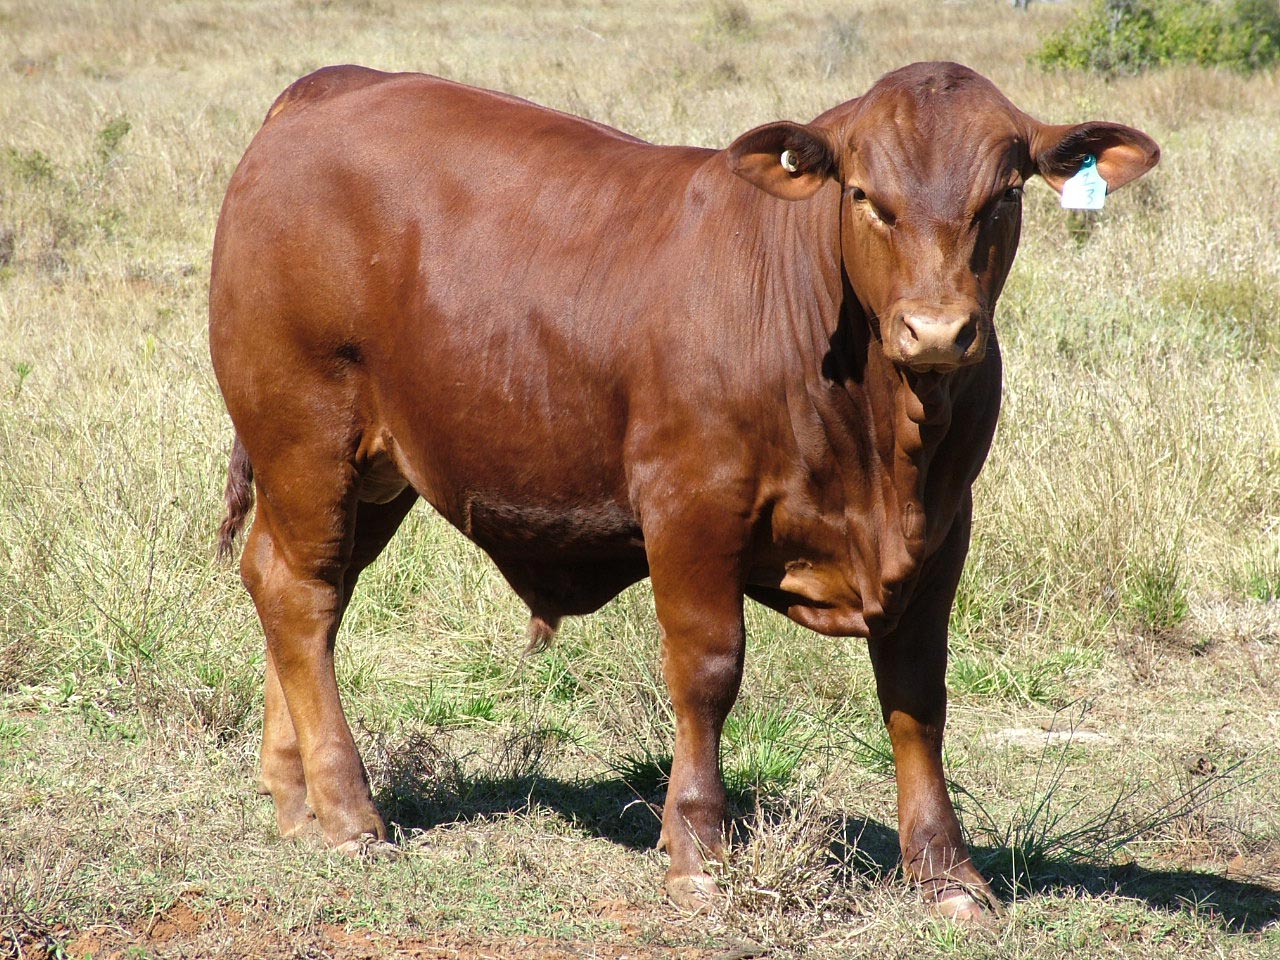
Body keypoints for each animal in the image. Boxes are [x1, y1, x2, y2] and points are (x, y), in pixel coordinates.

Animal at [209, 61, 1158, 920]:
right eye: (863, 195)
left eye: (1004, 195)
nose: (935, 330)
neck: (884, 449)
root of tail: (330, 86)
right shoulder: (691, 505)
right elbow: (708, 672)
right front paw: (699, 849)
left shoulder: (945, 528)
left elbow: (918, 694)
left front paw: (946, 871)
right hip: (305, 431)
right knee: (301, 593)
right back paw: (347, 811)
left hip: (373, 469)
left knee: (299, 589)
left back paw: (296, 799)